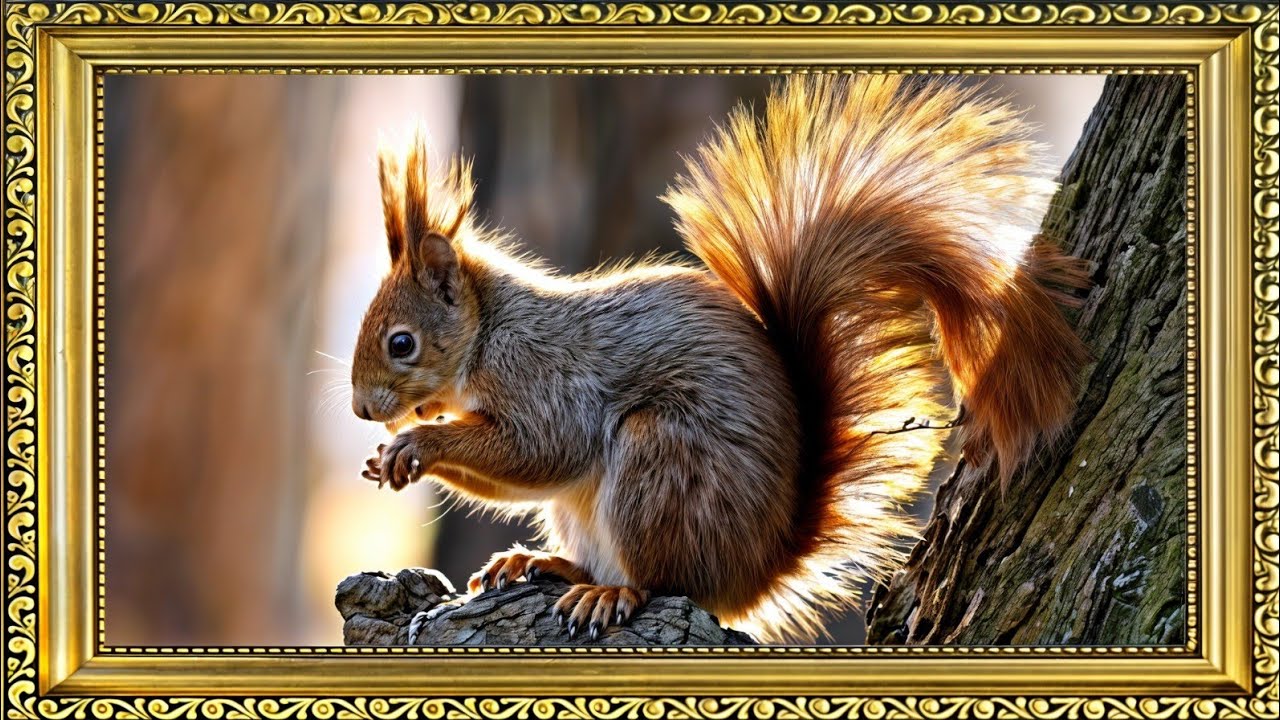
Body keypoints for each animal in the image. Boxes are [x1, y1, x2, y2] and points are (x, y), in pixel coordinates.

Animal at [350, 74, 1089, 643]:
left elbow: (543, 451)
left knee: (667, 582)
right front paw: (389, 457)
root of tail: (756, 571)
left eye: (400, 342)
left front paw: (418, 444)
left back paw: (614, 593)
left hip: (661, 464)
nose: (360, 409)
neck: (489, 333)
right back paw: (554, 566)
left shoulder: (547, 378)